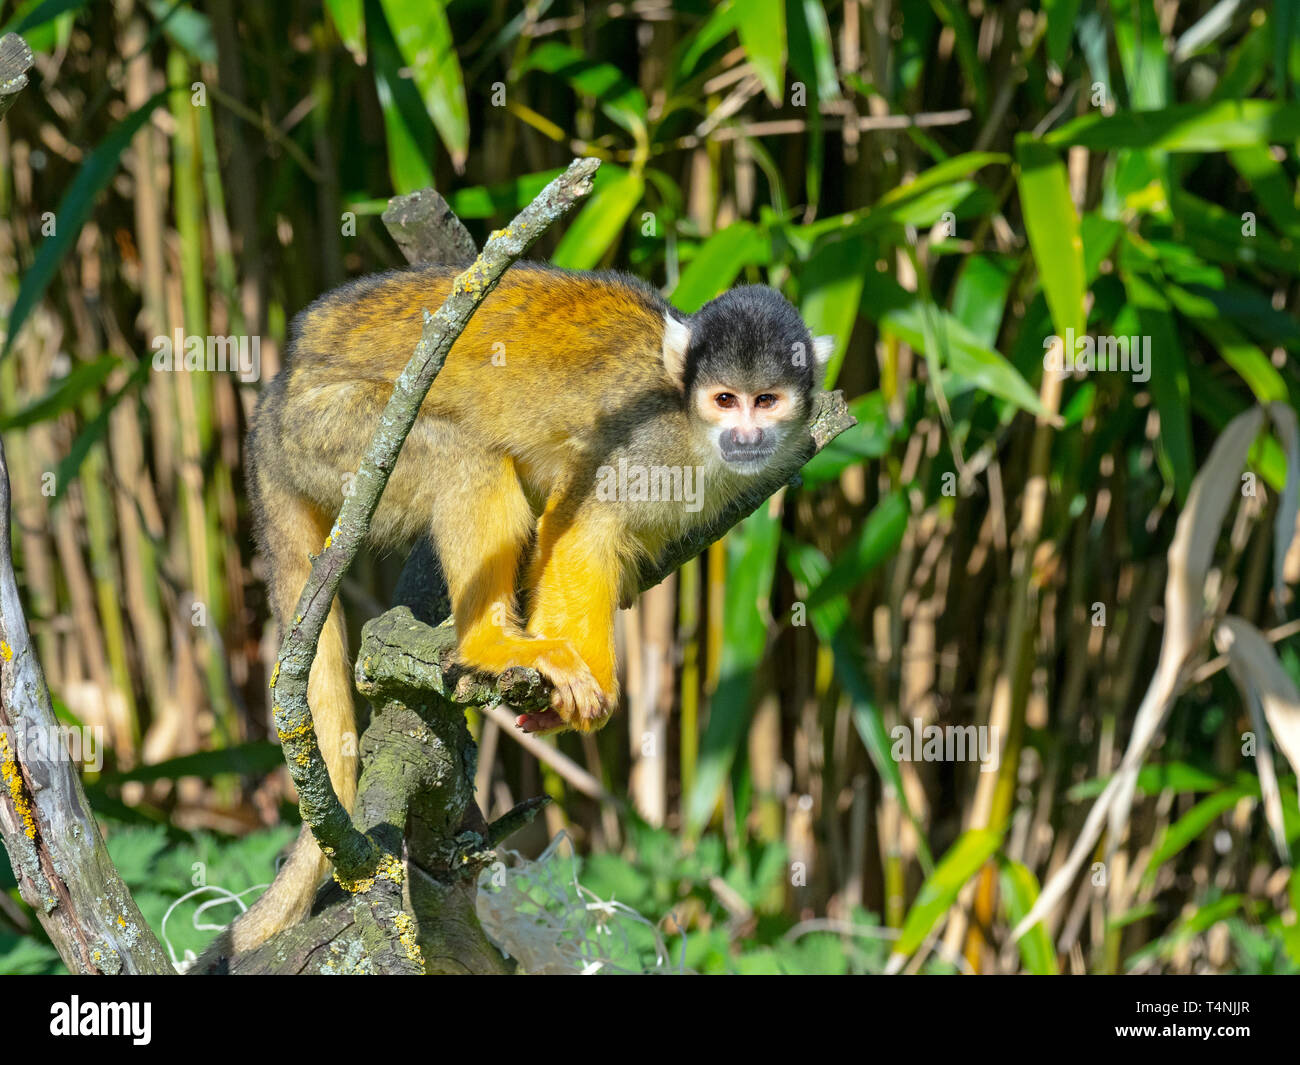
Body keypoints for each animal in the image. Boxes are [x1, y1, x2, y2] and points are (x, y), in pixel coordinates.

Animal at [230, 261, 832, 952]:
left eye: (767, 401)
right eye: (725, 399)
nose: (746, 435)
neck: (691, 427)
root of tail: (275, 394)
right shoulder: (644, 444)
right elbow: (579, 528)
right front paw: (591, 682)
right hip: (338, 436)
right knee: (465, 456)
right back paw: (488, 643)